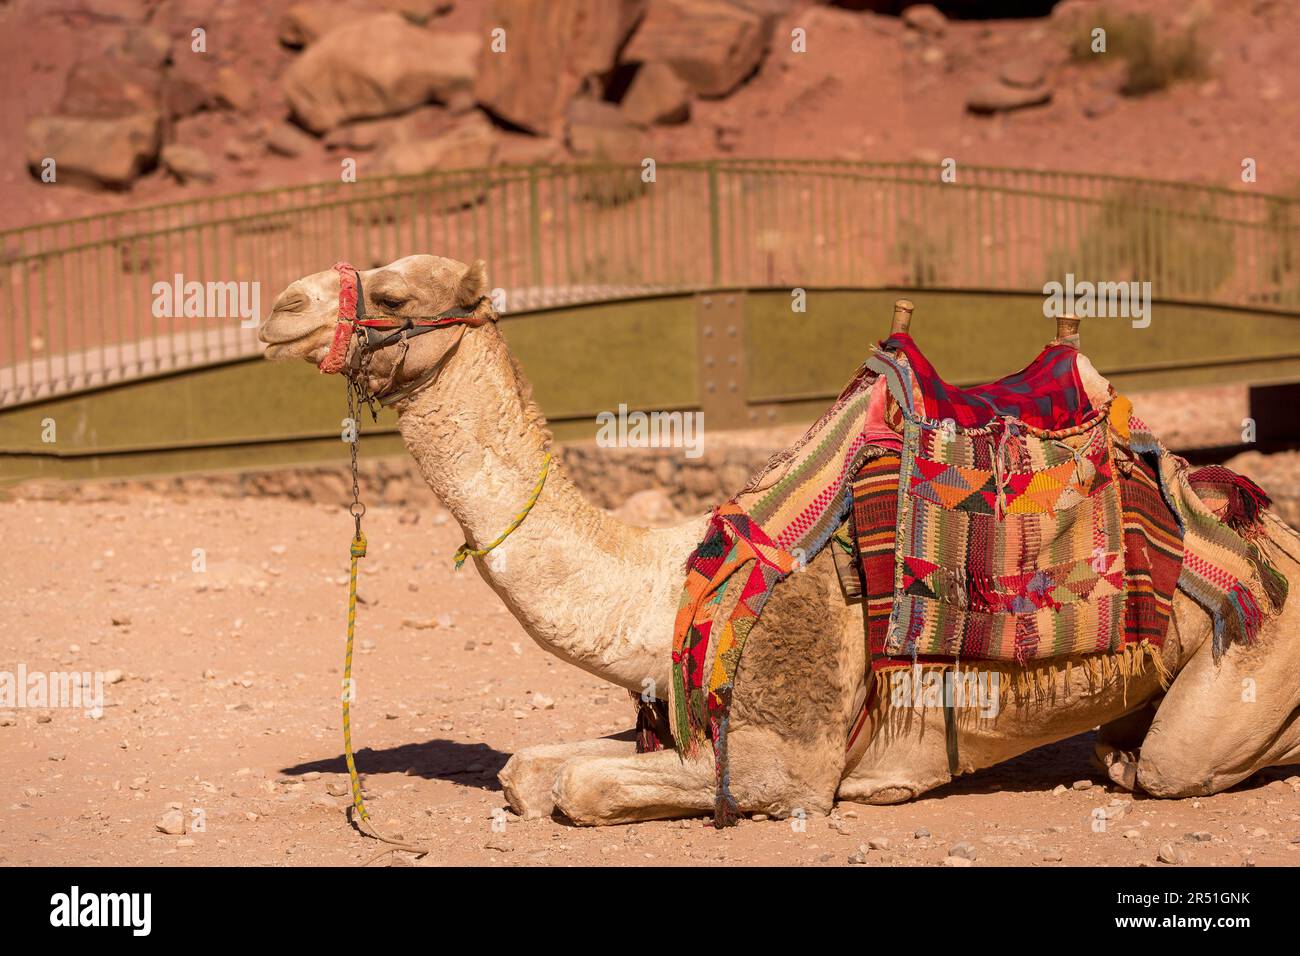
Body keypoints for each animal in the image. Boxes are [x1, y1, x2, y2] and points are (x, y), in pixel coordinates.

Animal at [259, 254, 1300, 826]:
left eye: (395, 295)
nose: (278, 307)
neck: (668, 584)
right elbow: (527, 771)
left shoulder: (788, 759)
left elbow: (582, 789)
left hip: (1251, 657)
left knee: (1173, 765)